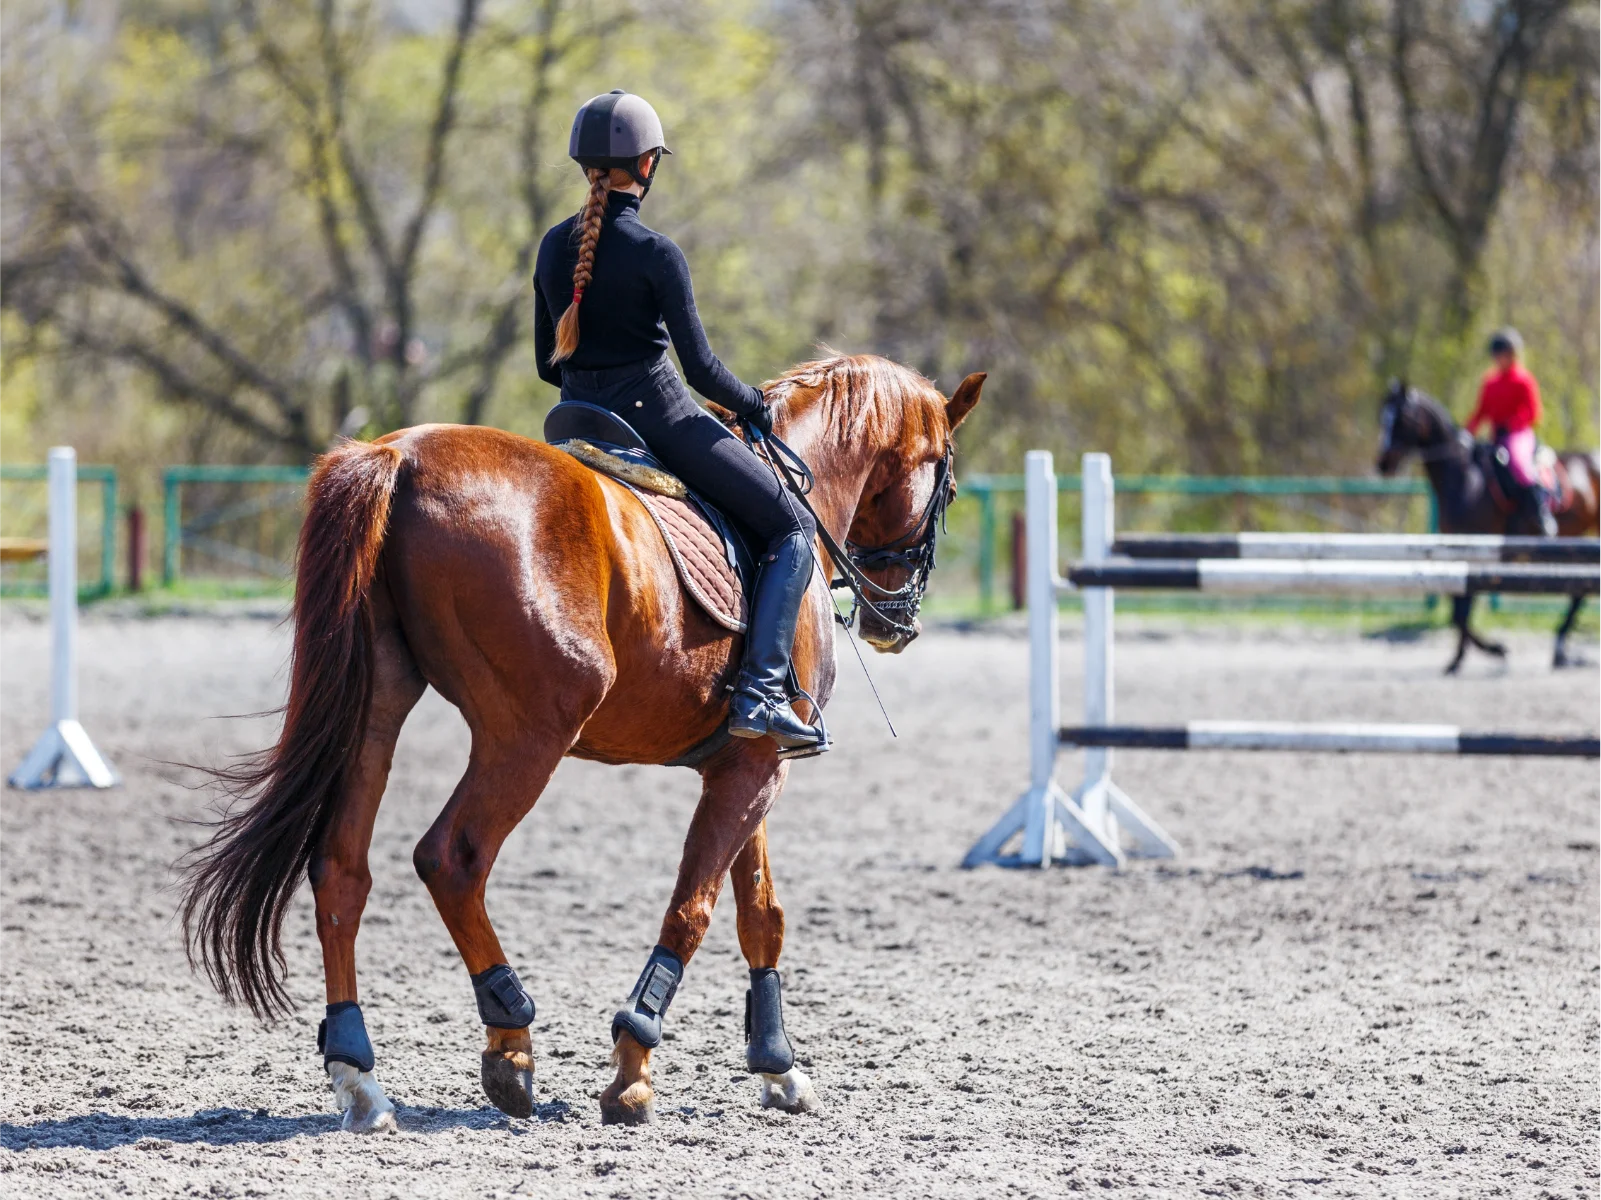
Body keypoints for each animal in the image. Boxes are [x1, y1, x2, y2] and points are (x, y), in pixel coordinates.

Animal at [177, 354, 985, 1131]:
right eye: (946, 486)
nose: (895, 621)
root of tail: (397, 454)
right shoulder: (757, 765)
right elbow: (692, 908)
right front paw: (633, 1069)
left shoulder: (748, 762)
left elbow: (759, 913)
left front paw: (777, 1066)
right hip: (531, 731)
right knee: (451, 858)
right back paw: (510, 1042)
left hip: (377, 708)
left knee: (340, 869)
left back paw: (359, 1077)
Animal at [1375, 380, 1601, 672]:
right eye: (1382, 418)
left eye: (1401, 418)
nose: (1382, 464)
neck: (1464, 478)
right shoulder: (1459, 551)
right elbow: (1457, 609)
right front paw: (1461, 657)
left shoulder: (1476, 549)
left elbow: (1462, 610)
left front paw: (1493, 650)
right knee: (1579, 590)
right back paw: (1560, 648)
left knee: (1579, 590)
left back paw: (1560, 647)